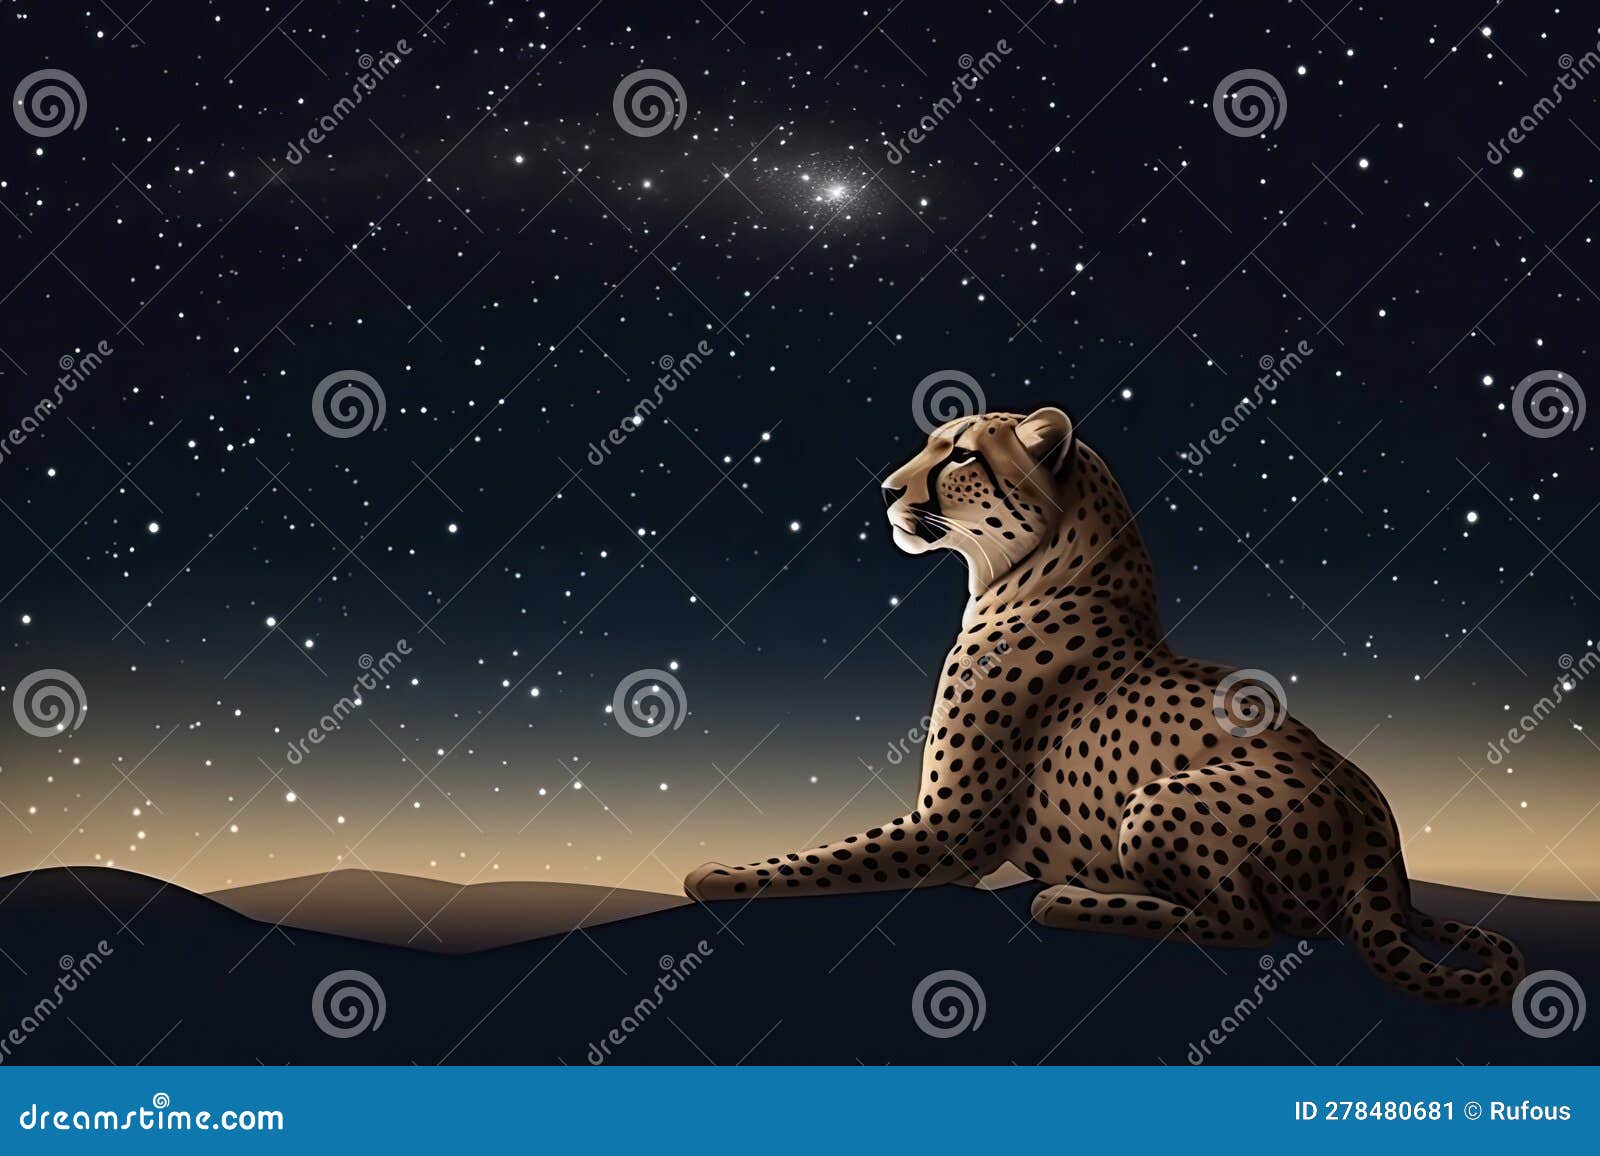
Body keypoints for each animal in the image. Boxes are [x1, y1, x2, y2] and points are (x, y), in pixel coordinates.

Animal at [685, 406, 1526, 1006]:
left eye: (961, 455)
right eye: (931, 445)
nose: (888, 490)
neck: (1030, 572)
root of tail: (1379, 834)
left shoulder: (946, 830)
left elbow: (819, 859)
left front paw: (716, 874)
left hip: (1161, 799)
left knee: (1244, 924)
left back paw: (1069, 898)